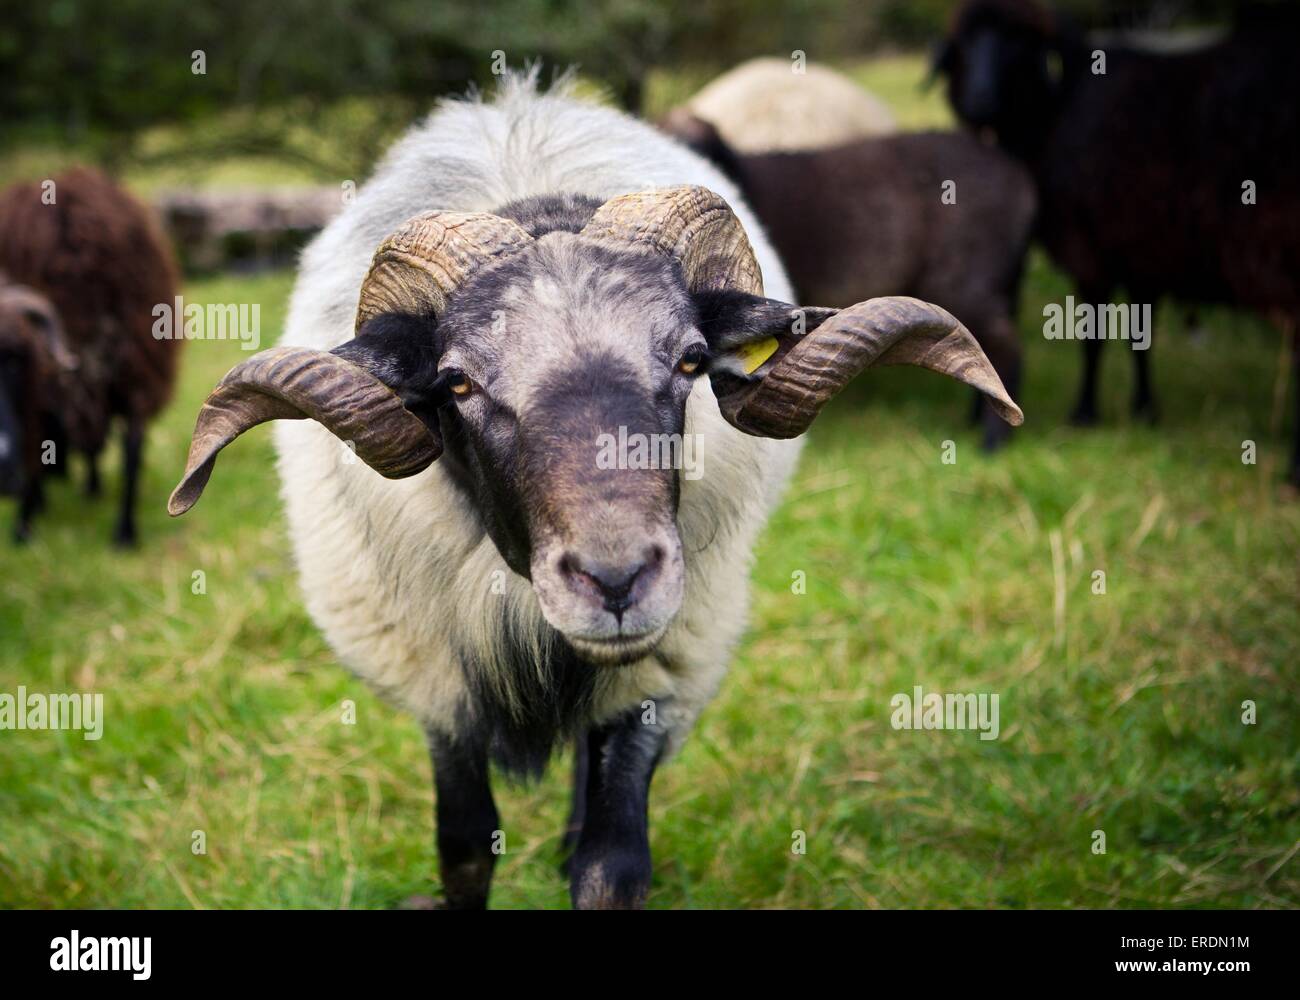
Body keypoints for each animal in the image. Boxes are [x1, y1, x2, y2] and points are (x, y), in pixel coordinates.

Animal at [934, 0, 1300, 484]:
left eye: (1018, 42)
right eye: (964, 44)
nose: (978, 101)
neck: (1056, 110)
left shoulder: (1091, 248)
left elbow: (1093, 337)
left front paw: (1084, 414)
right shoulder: (1142, 250)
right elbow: (1139, 340)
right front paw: (1145, 410)